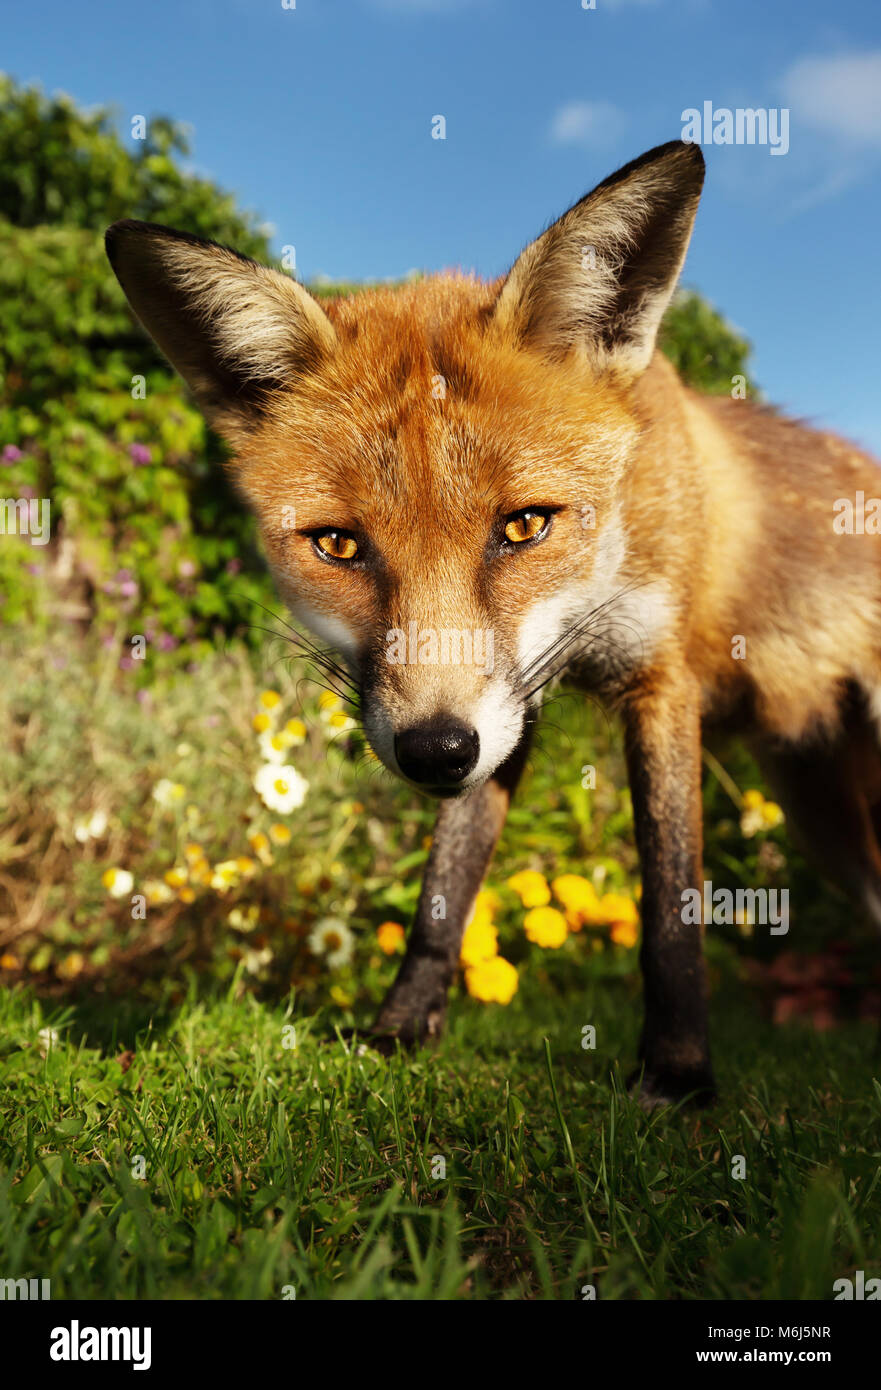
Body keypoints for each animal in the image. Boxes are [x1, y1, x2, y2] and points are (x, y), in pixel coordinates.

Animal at [106, 139, 881, 1106]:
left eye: (523, 526)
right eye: (338, 545)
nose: (433, 752)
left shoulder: (656, 680)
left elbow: (670, 898)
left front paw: (677, 1072)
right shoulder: (510, 705)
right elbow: (444, 887)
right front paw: (400, 1031)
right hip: (822, 818)